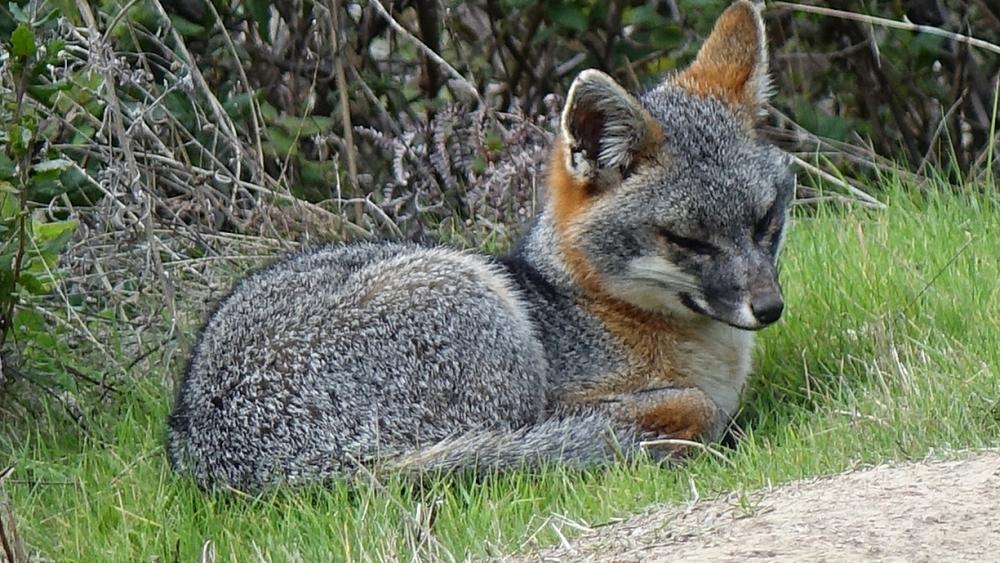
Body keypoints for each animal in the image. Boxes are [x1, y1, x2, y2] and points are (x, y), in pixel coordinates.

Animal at [167, 0, 795, 490]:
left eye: (766, 221)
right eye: (688, 241)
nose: (770, 309)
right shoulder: (566, 401)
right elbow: (693, 404)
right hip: (480, 306)